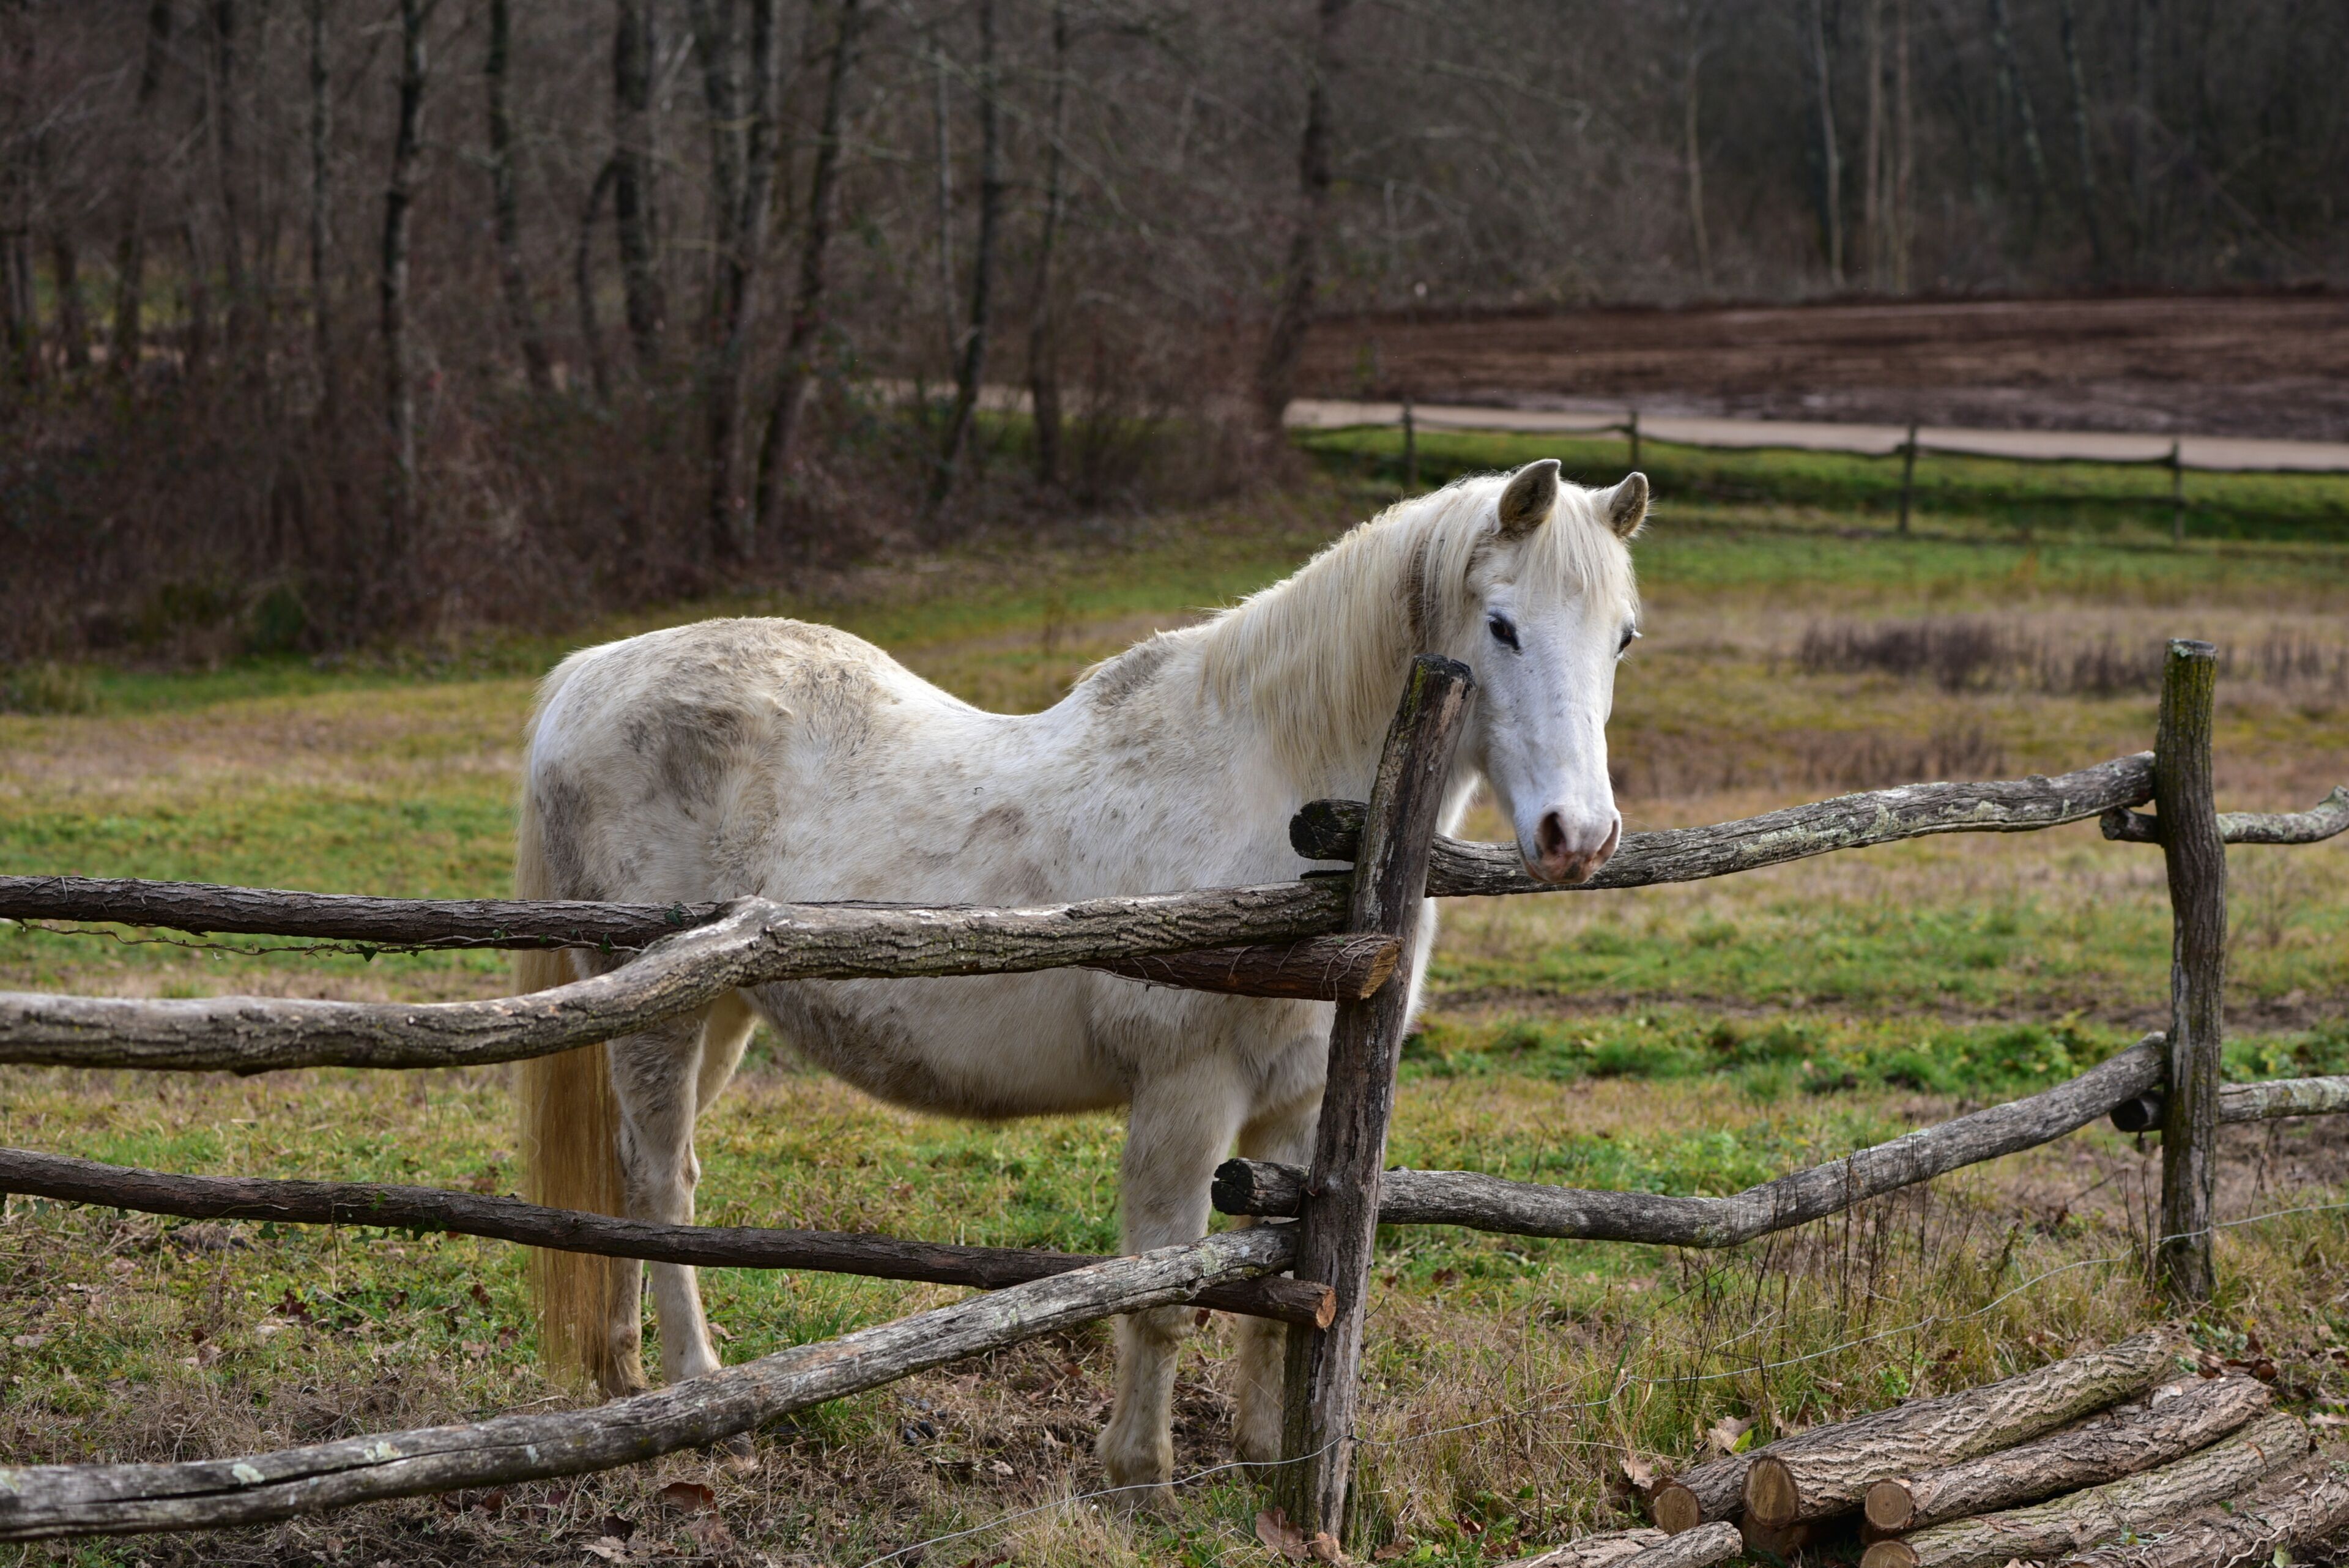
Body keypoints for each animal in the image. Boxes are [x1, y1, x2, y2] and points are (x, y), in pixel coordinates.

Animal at [513, 458, 1649, 1495]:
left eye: (1623, 635)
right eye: (1502, 625)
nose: (1578, 835)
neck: (1280, 802)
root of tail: (588, 675)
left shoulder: (1298, 1103)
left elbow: (1285, 1284)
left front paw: (1261, 1459)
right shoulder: (1187, 1098)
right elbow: (1163, 1290)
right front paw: (1138, 1472)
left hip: (711, 1009)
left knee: (634, 1174)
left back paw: (628, 1375)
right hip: (664, 1016)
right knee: (665, 1185)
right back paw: (704, 1395)